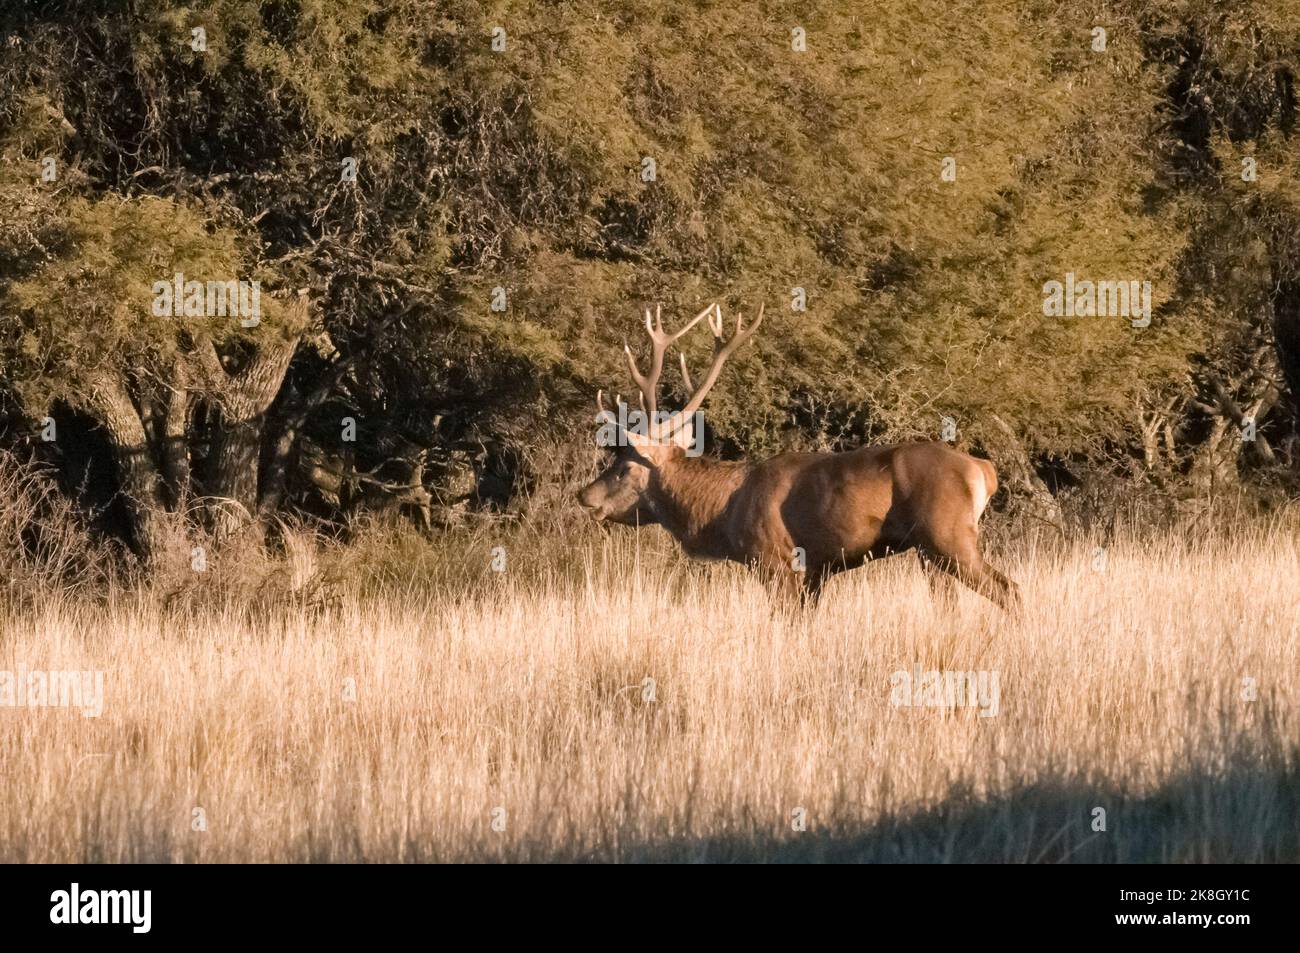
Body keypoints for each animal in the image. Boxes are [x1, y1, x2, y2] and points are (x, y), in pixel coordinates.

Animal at [576, 302, 1019, 609]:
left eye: (624, 466)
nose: (583, 496)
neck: (723, 512)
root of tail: (983, 469)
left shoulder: (776, 561)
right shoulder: (816, 574)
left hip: (949, 534)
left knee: (1009, 589)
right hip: (931, 551)